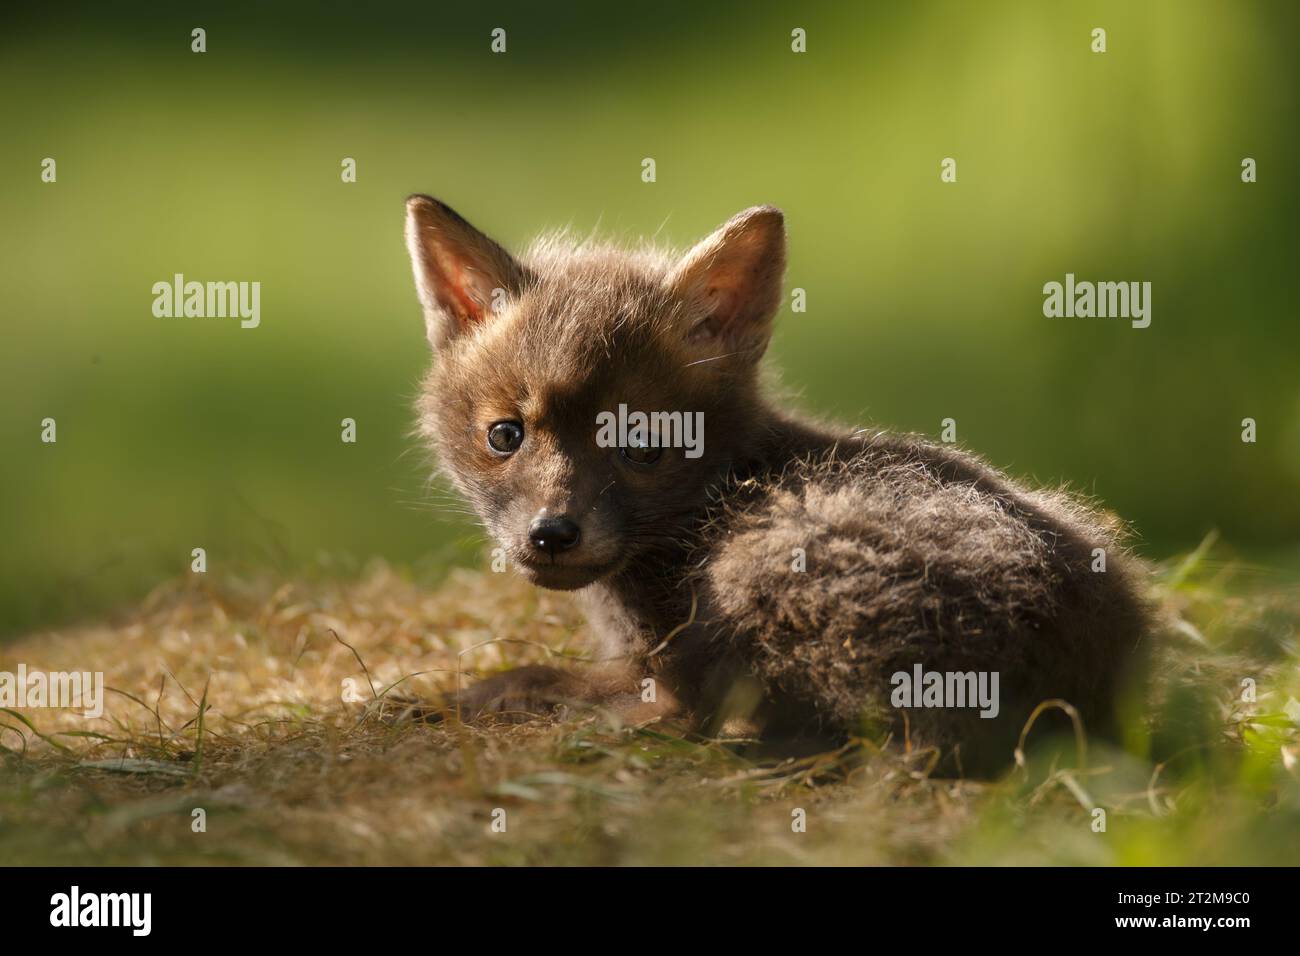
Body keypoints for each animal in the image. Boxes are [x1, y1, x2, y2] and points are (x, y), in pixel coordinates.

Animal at [404, 195, 1151, 772]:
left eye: (642, 444)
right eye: (506, 435)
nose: (552, 533)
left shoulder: (663, 659)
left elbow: (551, 679)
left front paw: (457, 699)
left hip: (761, 561)